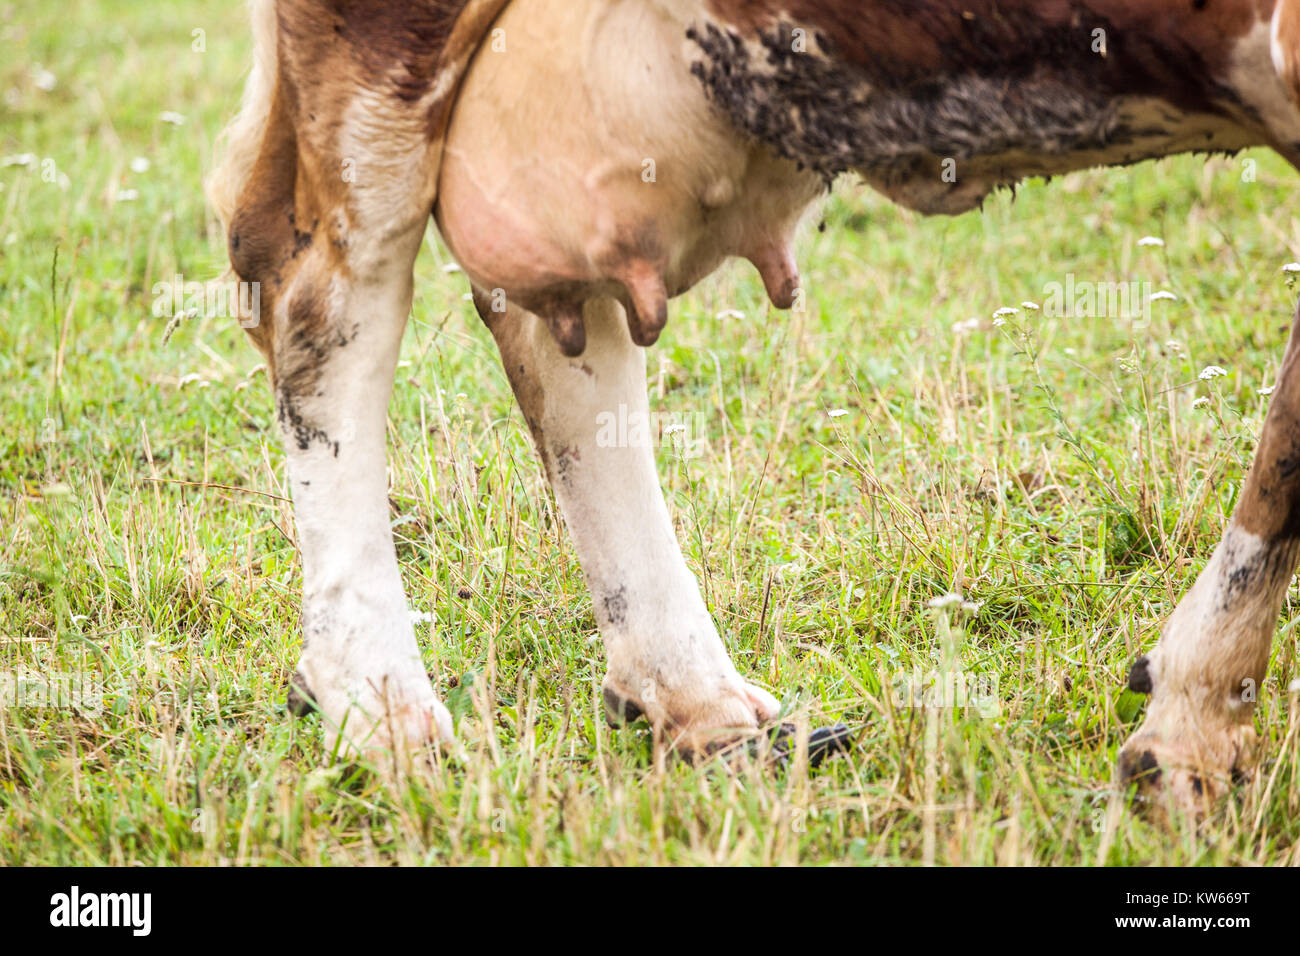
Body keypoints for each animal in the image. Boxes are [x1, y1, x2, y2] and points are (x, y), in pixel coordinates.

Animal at [208, 0, 1300, 812]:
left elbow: (1285, 441)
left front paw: (1199, 732)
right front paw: (1192, 731)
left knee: (556, 316)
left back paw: (695, 702)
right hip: (377, 56)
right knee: (325, 290)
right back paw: (380, 710)